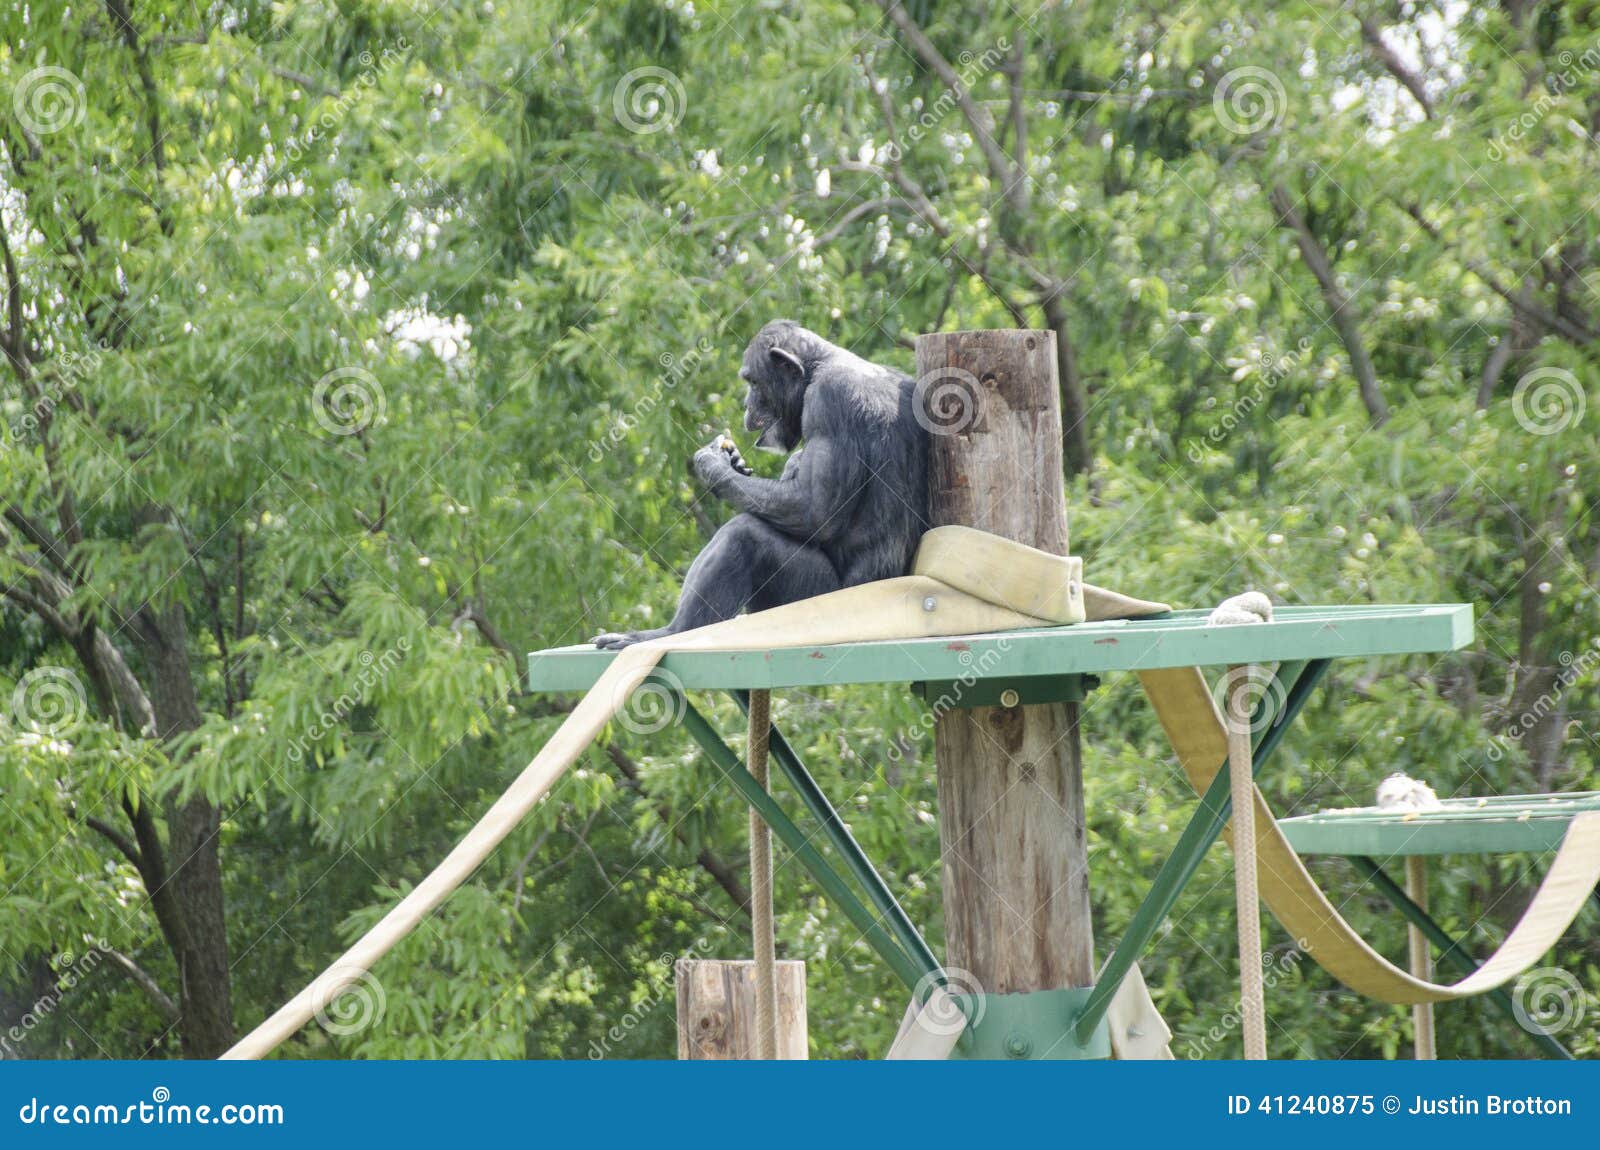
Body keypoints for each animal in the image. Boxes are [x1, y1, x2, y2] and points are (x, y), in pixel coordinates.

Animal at [592, 320, 929, 649]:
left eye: (753, 382)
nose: (746, 403)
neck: (820, 368)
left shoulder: (826, 401)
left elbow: (814, 511)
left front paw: (712, 464)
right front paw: (735, 461)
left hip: (816, 601)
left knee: (744, 535)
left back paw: (671, 631)